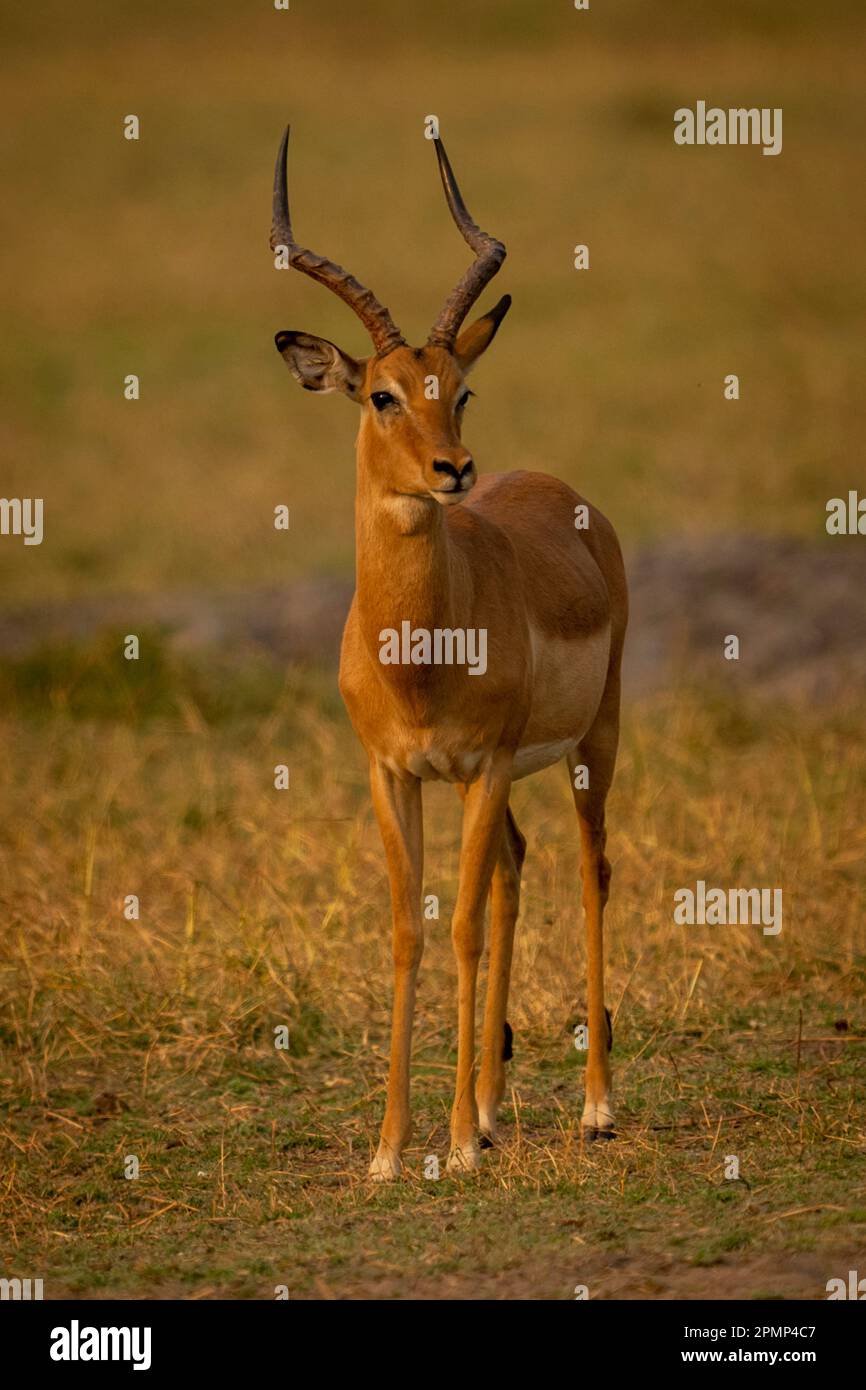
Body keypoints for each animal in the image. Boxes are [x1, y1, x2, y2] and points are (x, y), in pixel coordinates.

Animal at [270, 125, 628, 1178]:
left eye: (461, 390)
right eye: (382, 395)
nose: (454, 470)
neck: (420, 655)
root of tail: (566, 494)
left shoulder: (484, 763)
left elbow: (460, 927)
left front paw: (459, 1143)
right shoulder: (394, 773)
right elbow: (407, 933)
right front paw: (393, 1149)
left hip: (591, 743)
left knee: (589, 872)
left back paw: (590, 1107)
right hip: (507, 783)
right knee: (515, 869)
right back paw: (499, 1103)